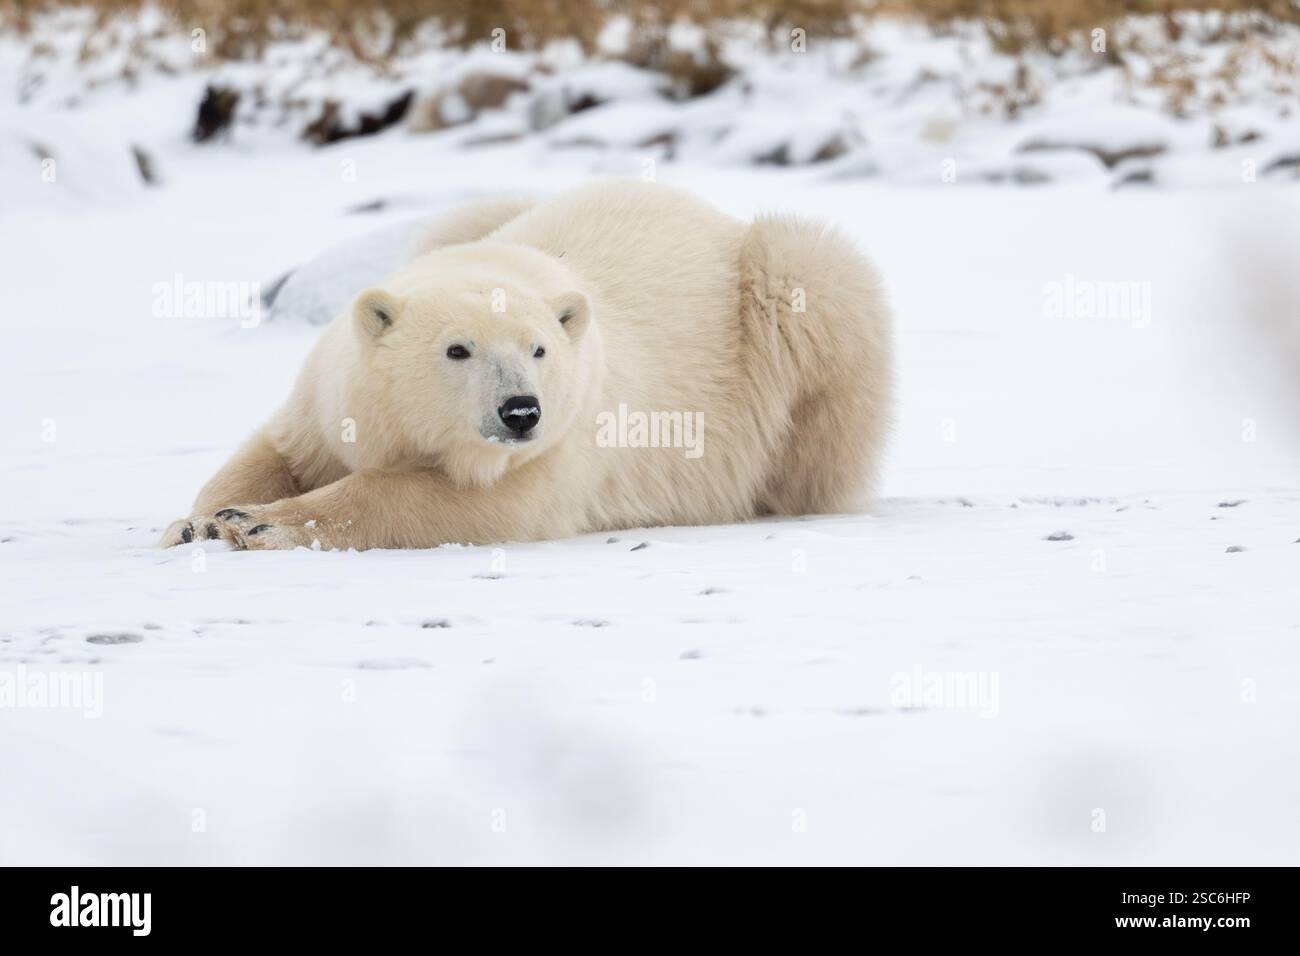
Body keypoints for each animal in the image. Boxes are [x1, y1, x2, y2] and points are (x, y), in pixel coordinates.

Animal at [160, 179, 893, 551]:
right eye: (457, 348)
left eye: (538, 349)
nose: (520, 411)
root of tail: (718, 215)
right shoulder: (329, 394)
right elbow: (277, 448)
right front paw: (203, 520)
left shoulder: (568, 440)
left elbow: (466, 502)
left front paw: (263, 522)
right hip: (474, 216)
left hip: (787, 299)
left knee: (814, 285)